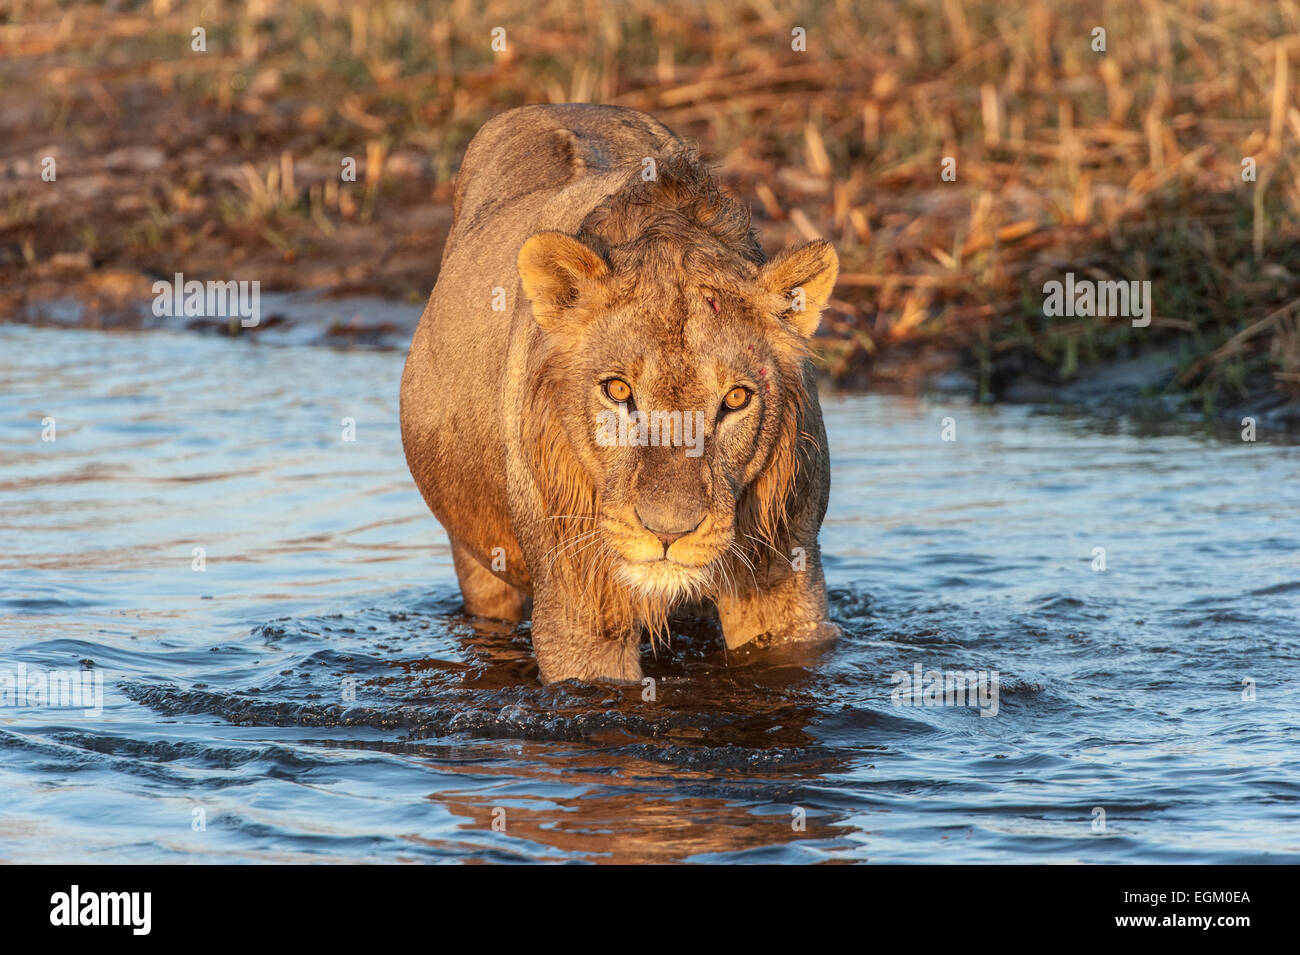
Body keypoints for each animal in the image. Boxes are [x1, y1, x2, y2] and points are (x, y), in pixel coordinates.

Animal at [400, 104, 838, 684]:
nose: (669, 534)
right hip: (475, 559)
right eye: (618, 390)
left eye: (736, 400)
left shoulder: (787, 579)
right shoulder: (579, 605)